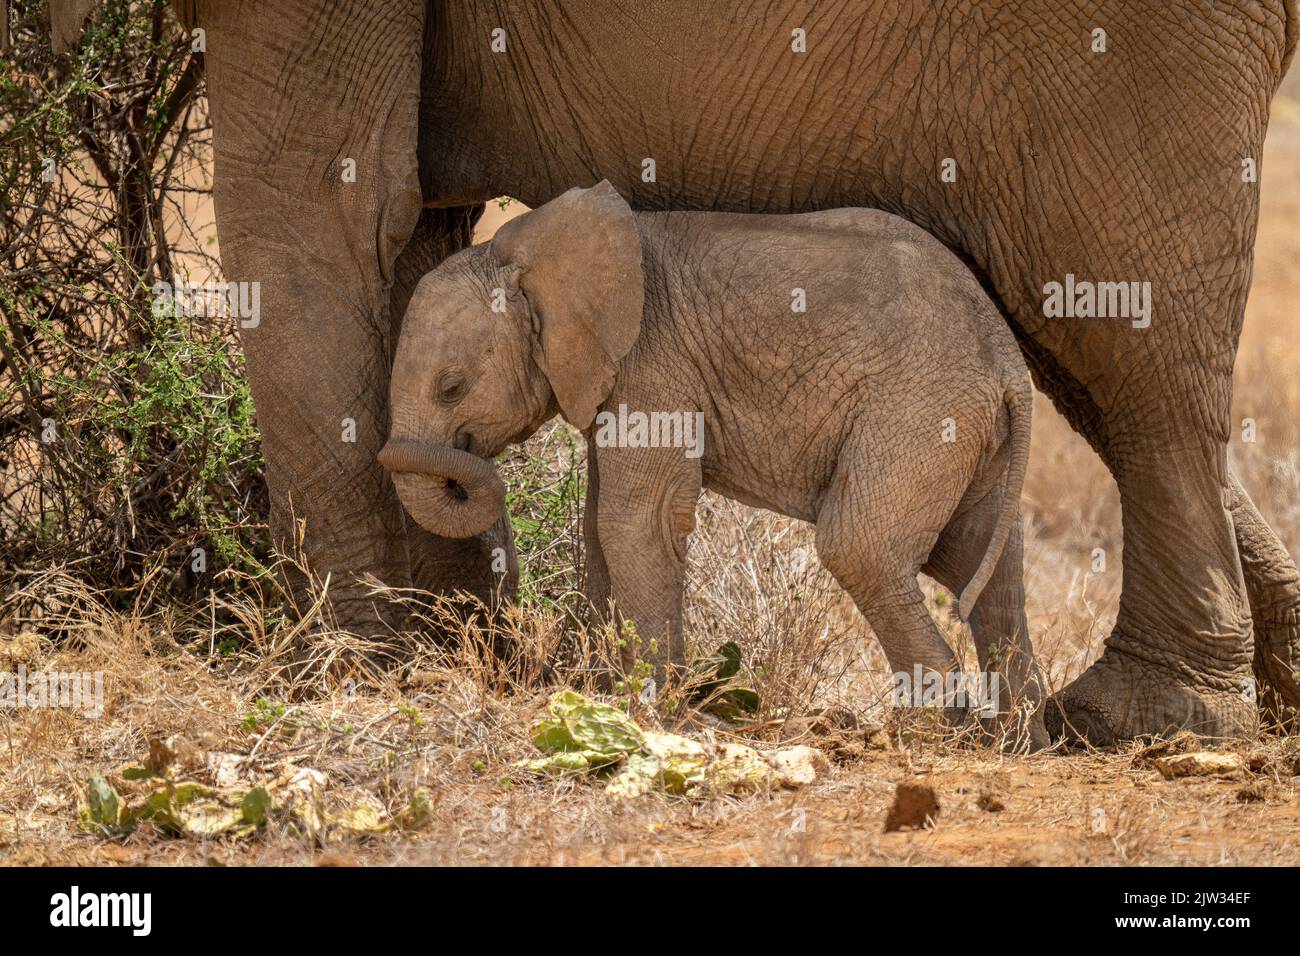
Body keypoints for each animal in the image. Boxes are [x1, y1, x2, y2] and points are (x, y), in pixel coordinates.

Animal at [379, 182, 1050, 750]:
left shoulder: (652, 359)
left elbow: (635, 523)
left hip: (922, 408)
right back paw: (1022, 740)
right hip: (968, 428)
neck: (521, 253)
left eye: (451, 388)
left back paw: (930, 734)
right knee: (983, 567)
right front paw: (595, 697)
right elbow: (600, 528)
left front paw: (660, 718)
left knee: (861, 547)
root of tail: (1007, 360)